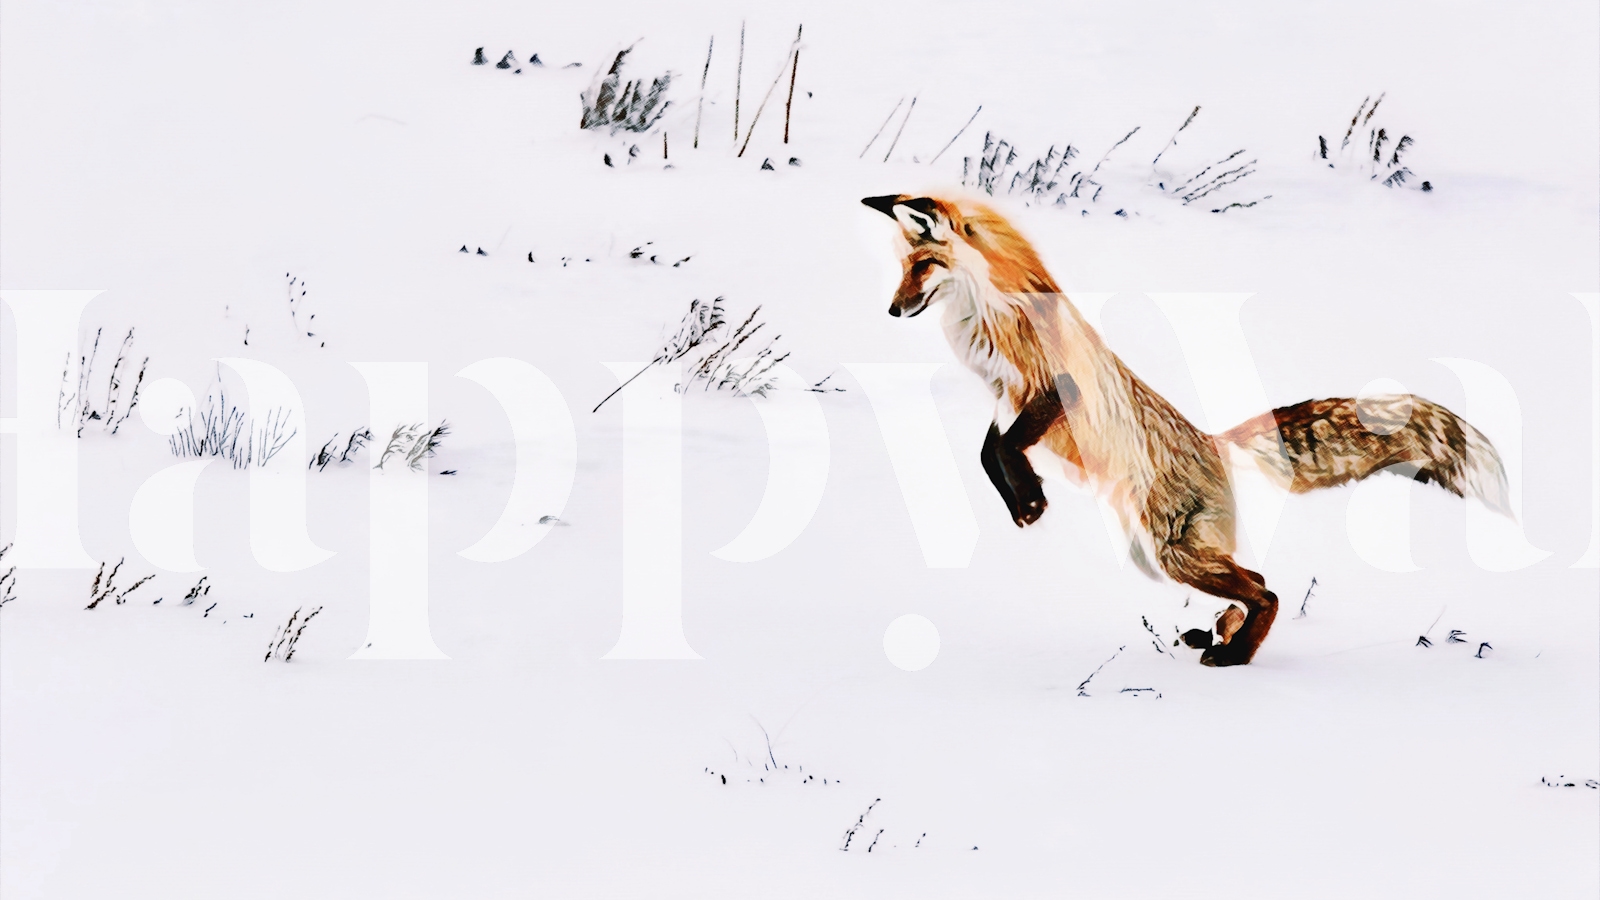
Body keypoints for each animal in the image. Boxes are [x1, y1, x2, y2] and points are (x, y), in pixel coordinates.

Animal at [862, 193, 1512, 666]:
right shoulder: (1007, 396)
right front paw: (1025, 500)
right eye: (902, 268)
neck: (987, 314)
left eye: (923, 265)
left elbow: (1003, 448)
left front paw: (1029, 501)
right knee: (1255, 579)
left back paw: (1233, 657)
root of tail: (1212, 443)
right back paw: (1218, 634)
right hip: (1163, 553)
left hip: (1171, 552)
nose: (891, 310)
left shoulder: (1053, 386)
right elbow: (988, 451)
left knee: (1268, 591)